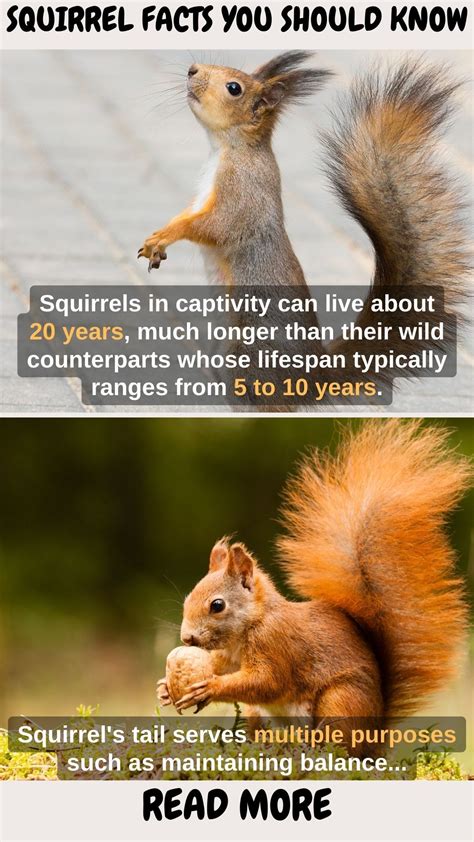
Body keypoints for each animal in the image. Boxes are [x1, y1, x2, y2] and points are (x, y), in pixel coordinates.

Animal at [137, 52, 468, 396]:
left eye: (234, 88)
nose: (192, 70)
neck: (227, 150)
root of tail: (312, 376)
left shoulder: (243, 195)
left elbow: (214, 227)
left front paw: (166, 236)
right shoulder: (200, 200)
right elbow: (187, 215)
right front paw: (158, 237)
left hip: (247, 359)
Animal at [157, 420, 470, 741]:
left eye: (217, 605)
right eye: (187, 599)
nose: (187, 638)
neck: (251, 625)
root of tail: (376, 735)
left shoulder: (275, 643)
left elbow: (266, 682)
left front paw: (209, 687)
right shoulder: (229, 656)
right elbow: (220, 665)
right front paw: (165, 688)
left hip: (340, 701)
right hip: (260, 715)